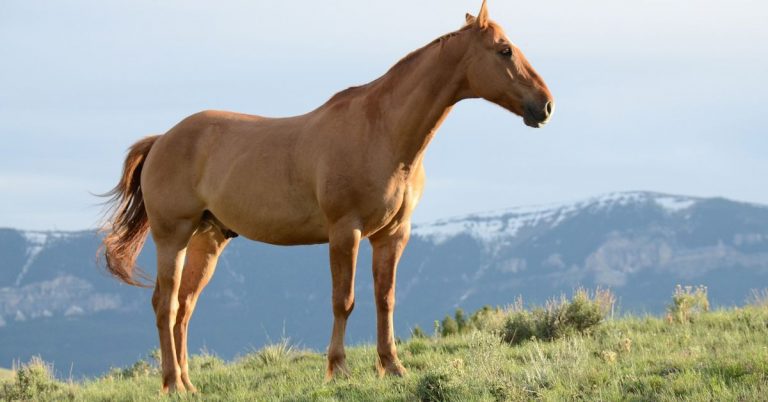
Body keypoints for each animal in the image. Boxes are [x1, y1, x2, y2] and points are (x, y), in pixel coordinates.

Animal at [101, 0, 553, 393]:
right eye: (504, 50)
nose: (545, 105)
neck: (382, 132)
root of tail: (162, 139)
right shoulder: (344, 232)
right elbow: (344, 300)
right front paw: (338, 369)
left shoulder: (393, 235)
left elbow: (385, 299)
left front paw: (392, 367)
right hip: (172, 237)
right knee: (165, 305)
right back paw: (172, 383)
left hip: (207, 240)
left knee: (184, 307)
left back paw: (188, 383)